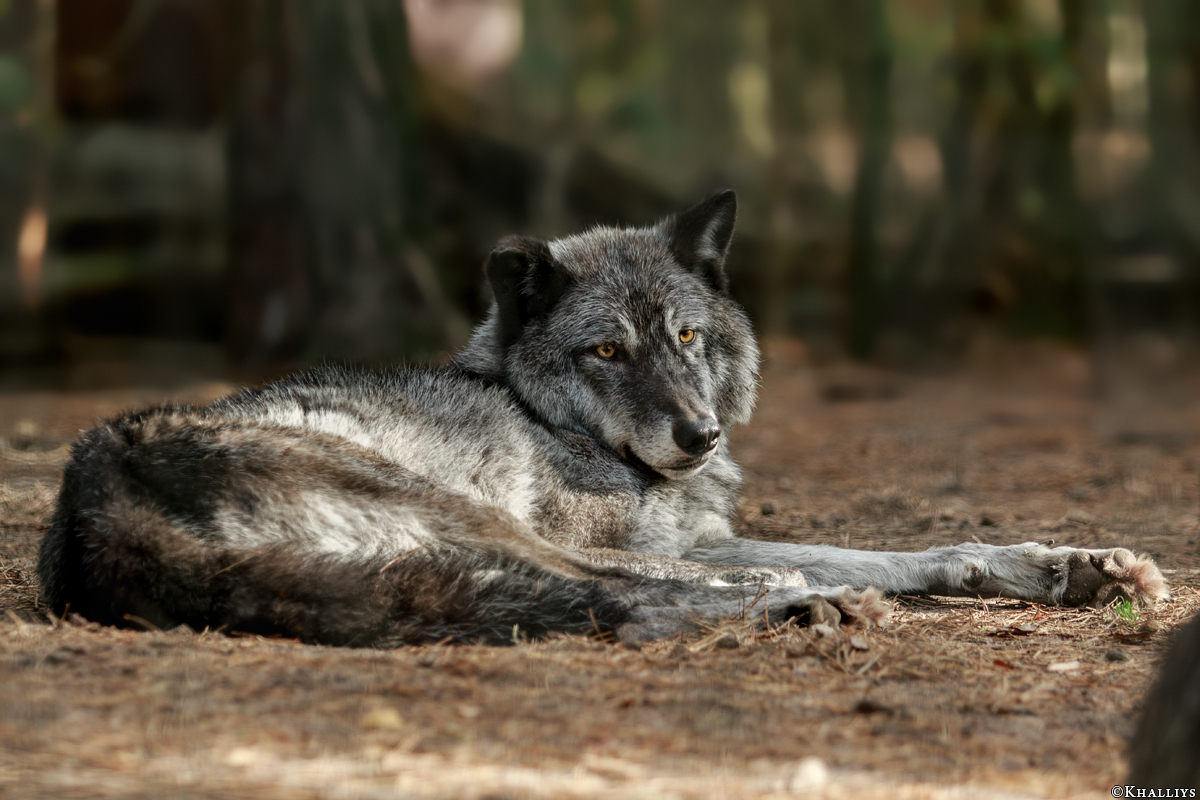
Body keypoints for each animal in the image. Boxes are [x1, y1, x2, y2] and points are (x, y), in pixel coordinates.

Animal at [36, 191, 1168, 646]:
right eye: (608, 351)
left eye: (686, 336)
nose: (700, 436)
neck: (559, 422)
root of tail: (89, 506)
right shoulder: (661, 538)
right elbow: (788, 562)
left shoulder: (703, 530)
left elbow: (906, 550)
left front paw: (1064, 566)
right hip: (460, 510)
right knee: (618, 594)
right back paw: (798, 605)